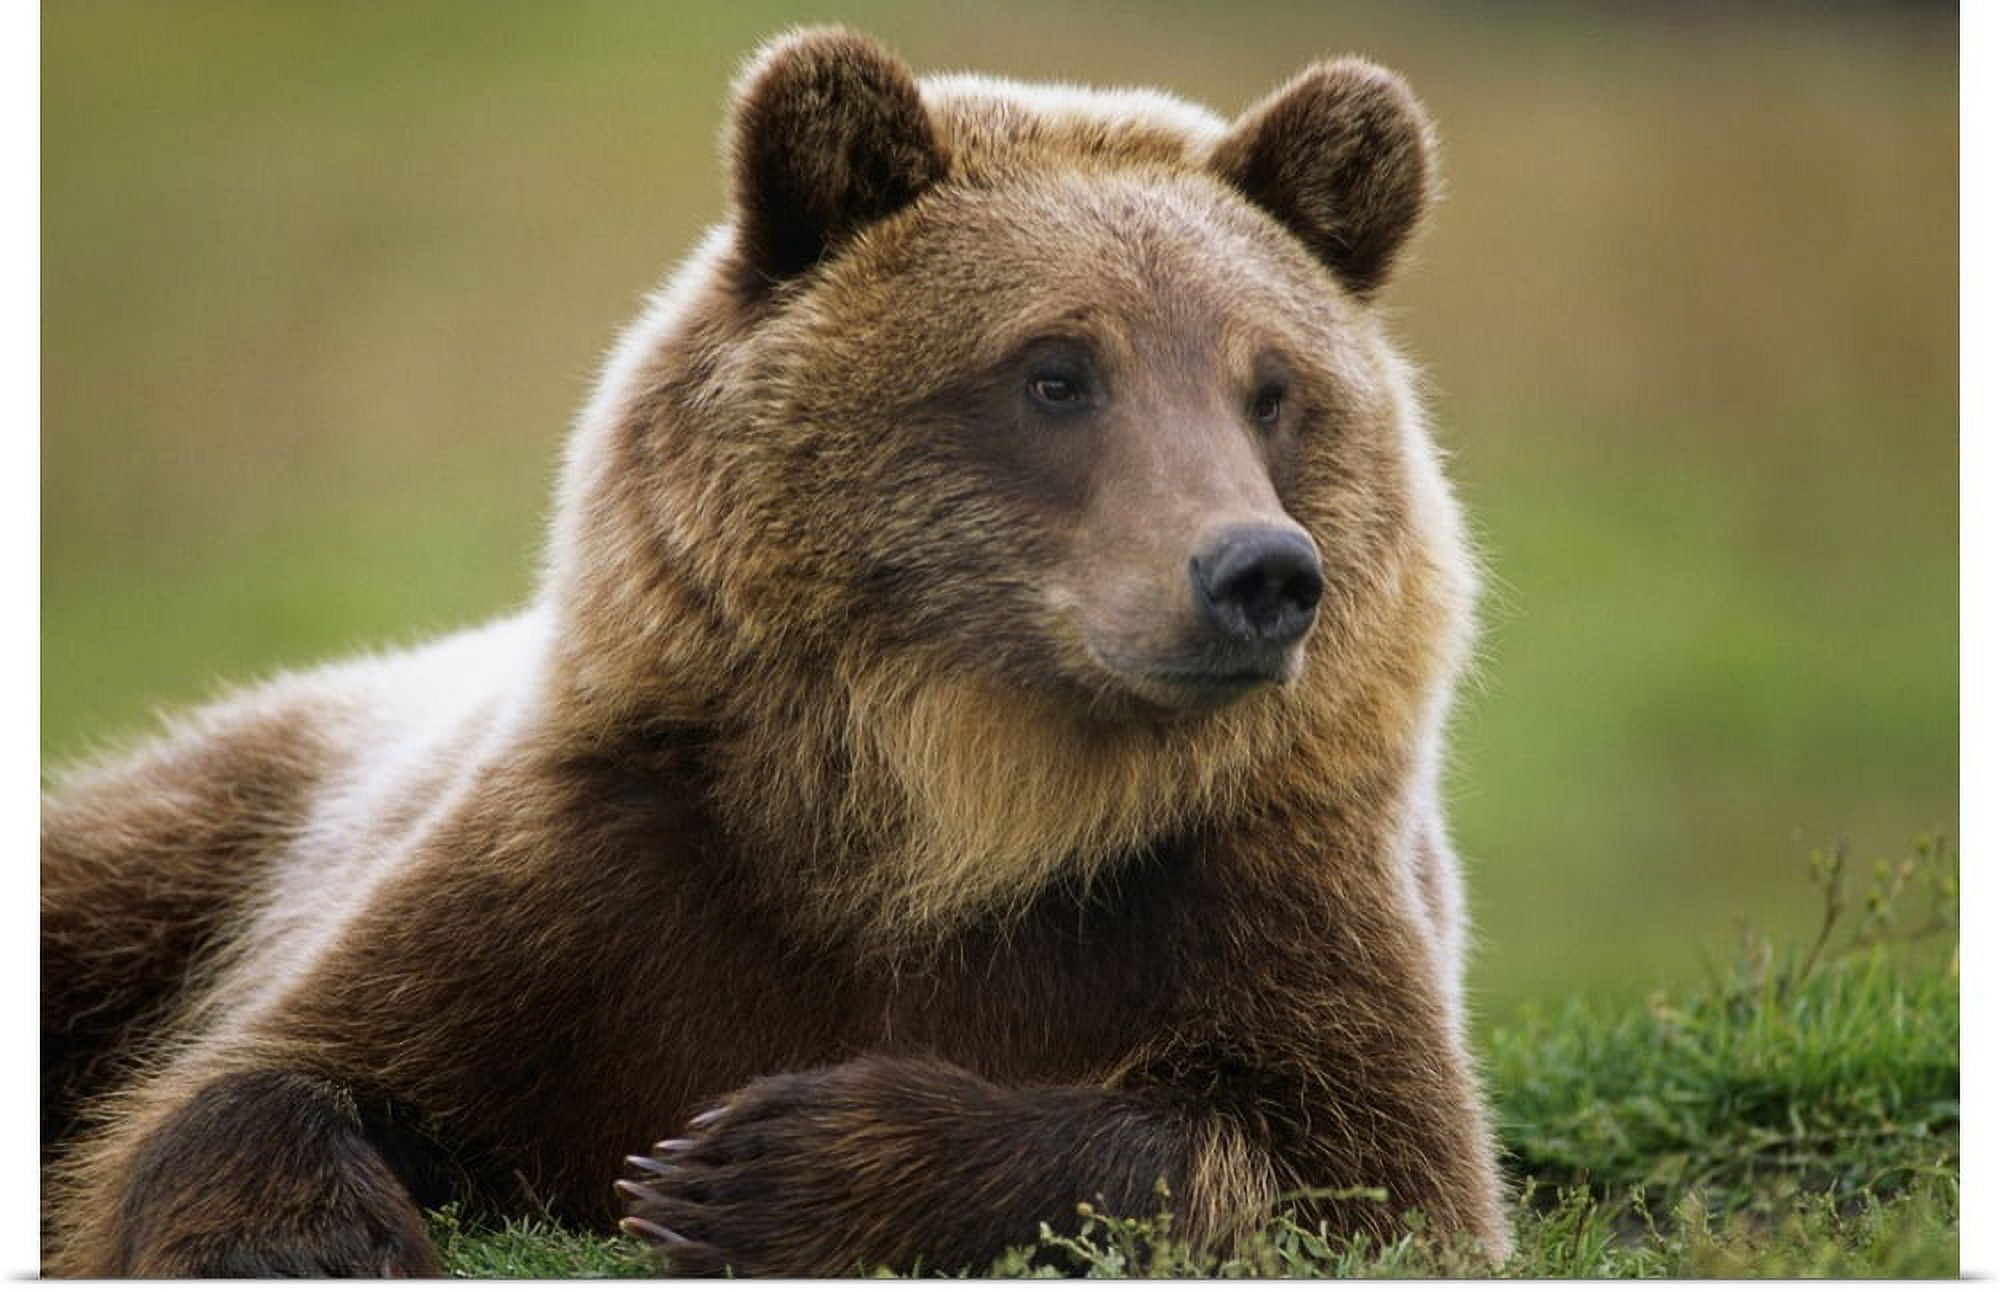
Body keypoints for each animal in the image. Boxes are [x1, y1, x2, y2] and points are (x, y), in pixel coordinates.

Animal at [41, 27, 1505, 1277]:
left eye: (1272, 389)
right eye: (1055, 371)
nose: (1260, 574)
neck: (960, 805)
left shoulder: (1247, 894)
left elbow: (1336, 1167)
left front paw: (759, 1162)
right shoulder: (602, 874)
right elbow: (259, 1076)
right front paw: (306, 1239)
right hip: (237, 807)